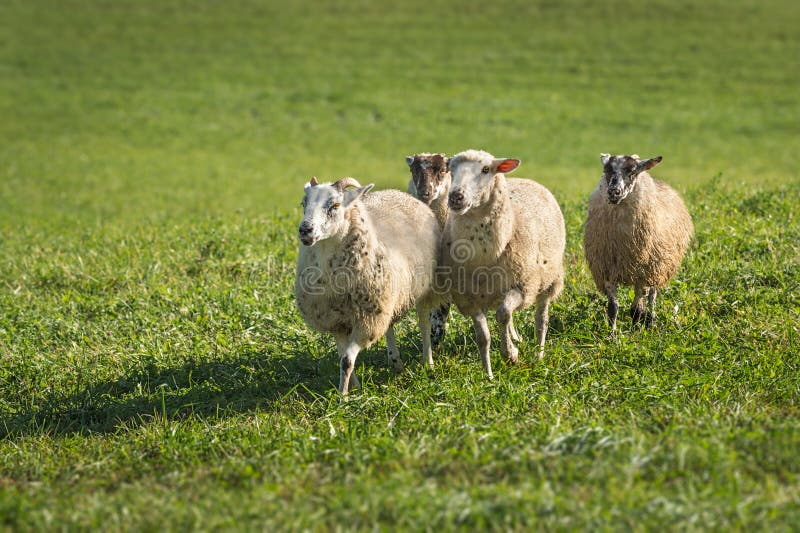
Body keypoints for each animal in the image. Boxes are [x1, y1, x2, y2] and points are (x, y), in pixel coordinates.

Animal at [295, 176, 442, 394]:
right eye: (303, 203)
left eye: (335, 205)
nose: (305, 230)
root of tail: (397, 192)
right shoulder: (337, 321)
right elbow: (343, 358)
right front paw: (353, 387)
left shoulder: (366, 321)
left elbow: (347, 360)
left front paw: (343, 395)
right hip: (386, 298)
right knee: (389, 325)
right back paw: (396, 362)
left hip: (423, 289)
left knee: (424, 324)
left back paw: (427, 362)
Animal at [442, 149, 566, 379]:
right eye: (451, 170)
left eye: (485, 169)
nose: (455, 197)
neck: (484, 258)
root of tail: (526, 179)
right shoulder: (468, 299)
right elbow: (483, 336)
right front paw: (488, 375)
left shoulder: (523, 286)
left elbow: (503, 314)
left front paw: (510, 355)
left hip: (548, 280)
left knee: (541, 318)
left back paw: (538, 354)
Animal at [583, 154, 694, 331]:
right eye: (606, 170)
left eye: (633, 172)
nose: (614, 192)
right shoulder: (608, 268)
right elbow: (613, 307)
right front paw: (612, 334)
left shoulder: (643, 272)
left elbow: (637, 307)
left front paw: (638, 328)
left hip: (657, 265)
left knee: (651, 297)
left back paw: (651, 322)